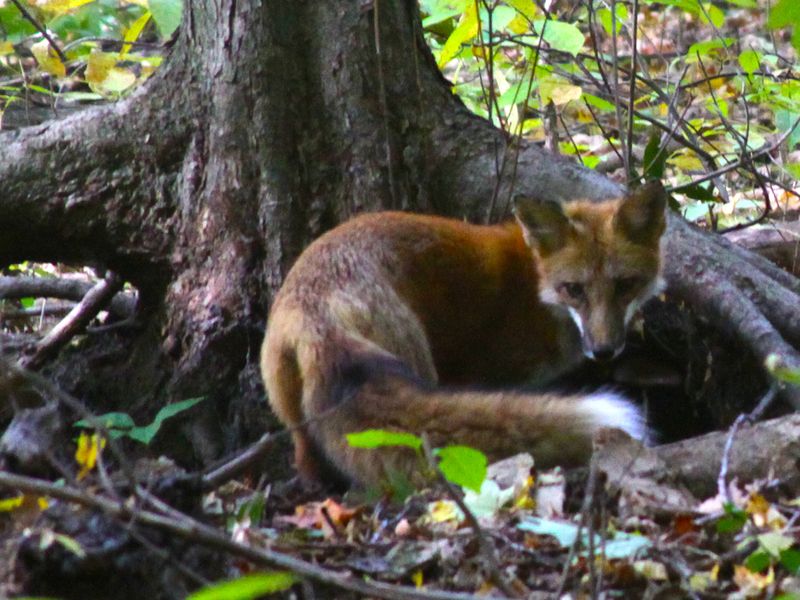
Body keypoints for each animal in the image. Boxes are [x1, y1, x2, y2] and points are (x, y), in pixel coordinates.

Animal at [260, 181, 667, 488]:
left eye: (625, 285)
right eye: (574, 289)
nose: (604, 350)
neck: (535, 286)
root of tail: (316, 315)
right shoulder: (487, 371)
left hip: (293, 414)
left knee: (309, 462)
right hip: (420, 368)